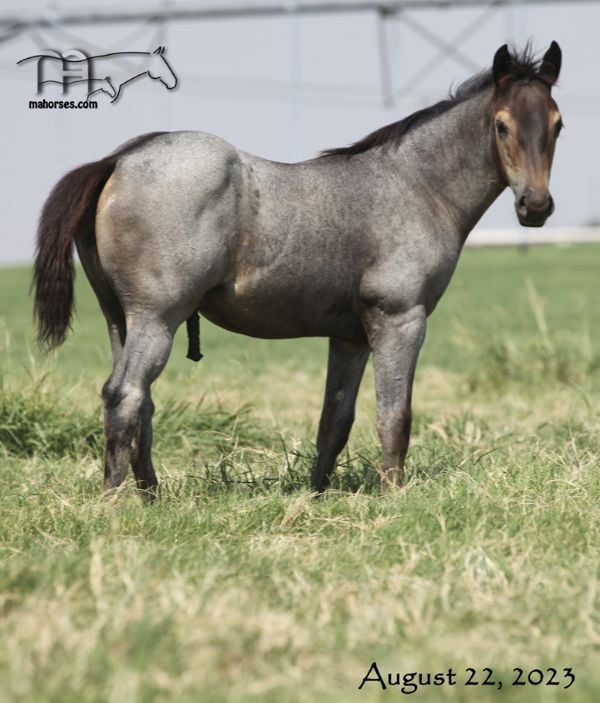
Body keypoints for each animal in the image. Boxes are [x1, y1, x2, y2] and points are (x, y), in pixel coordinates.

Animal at [33, 42, 563, 498]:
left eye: (557, 125)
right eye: (501, 125)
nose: (536, 207)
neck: (416, 185)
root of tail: (117, 160)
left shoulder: (350, 336)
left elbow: (335, 422)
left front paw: (316, 497)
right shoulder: (400, 321)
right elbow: (395, 416)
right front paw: (395, 498)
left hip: (120, 319)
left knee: (138, 398)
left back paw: (151, 495)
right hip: (157, 317)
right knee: (124, 395)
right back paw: (115, 501)